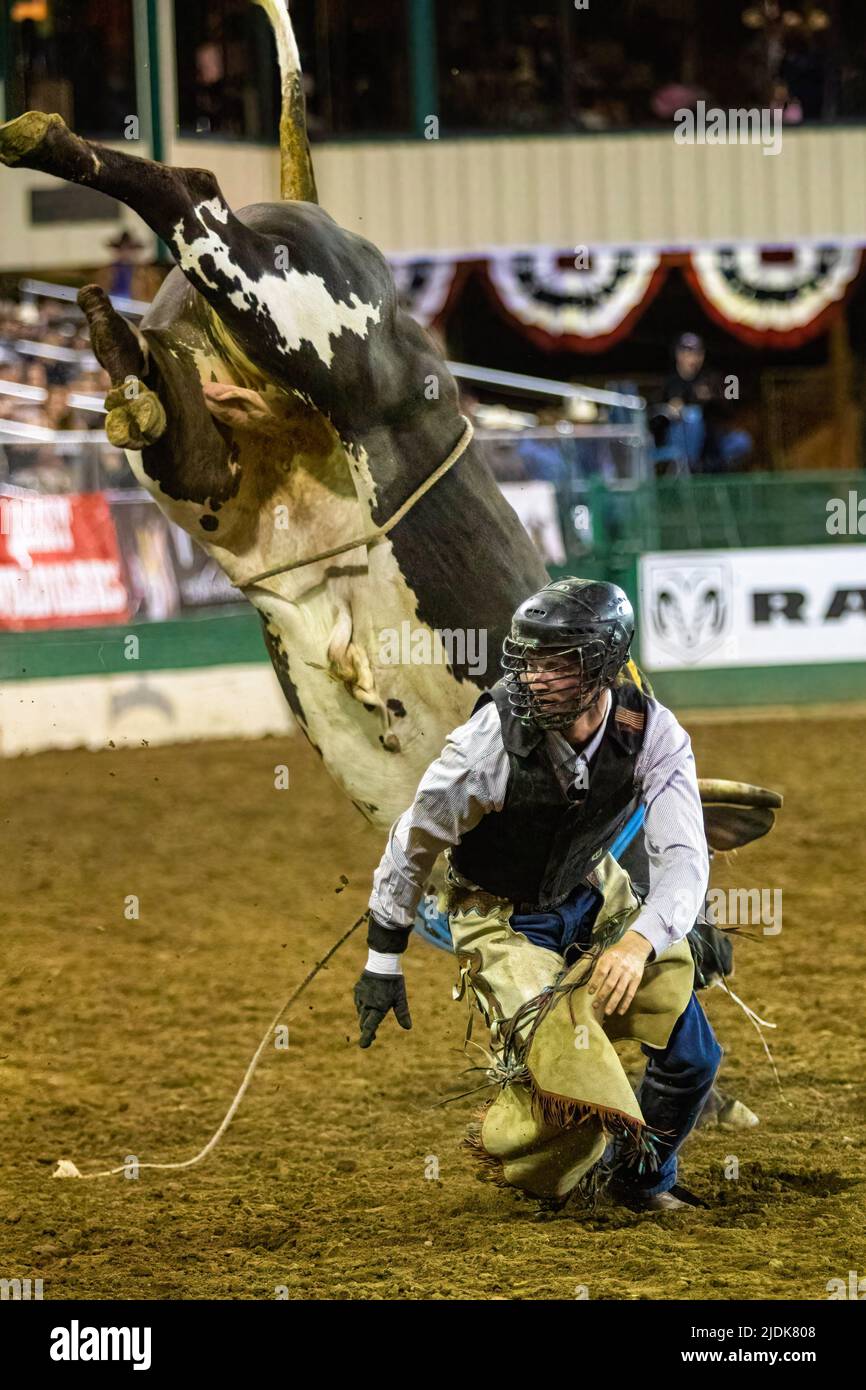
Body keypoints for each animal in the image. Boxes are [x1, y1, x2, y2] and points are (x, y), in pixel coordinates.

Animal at [0, 0, 546, 830]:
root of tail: (310, 205)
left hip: (210, 466)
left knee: (174, 421)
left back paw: (122, 358)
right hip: (300, 316)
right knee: (191, 188)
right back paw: (49, 142)